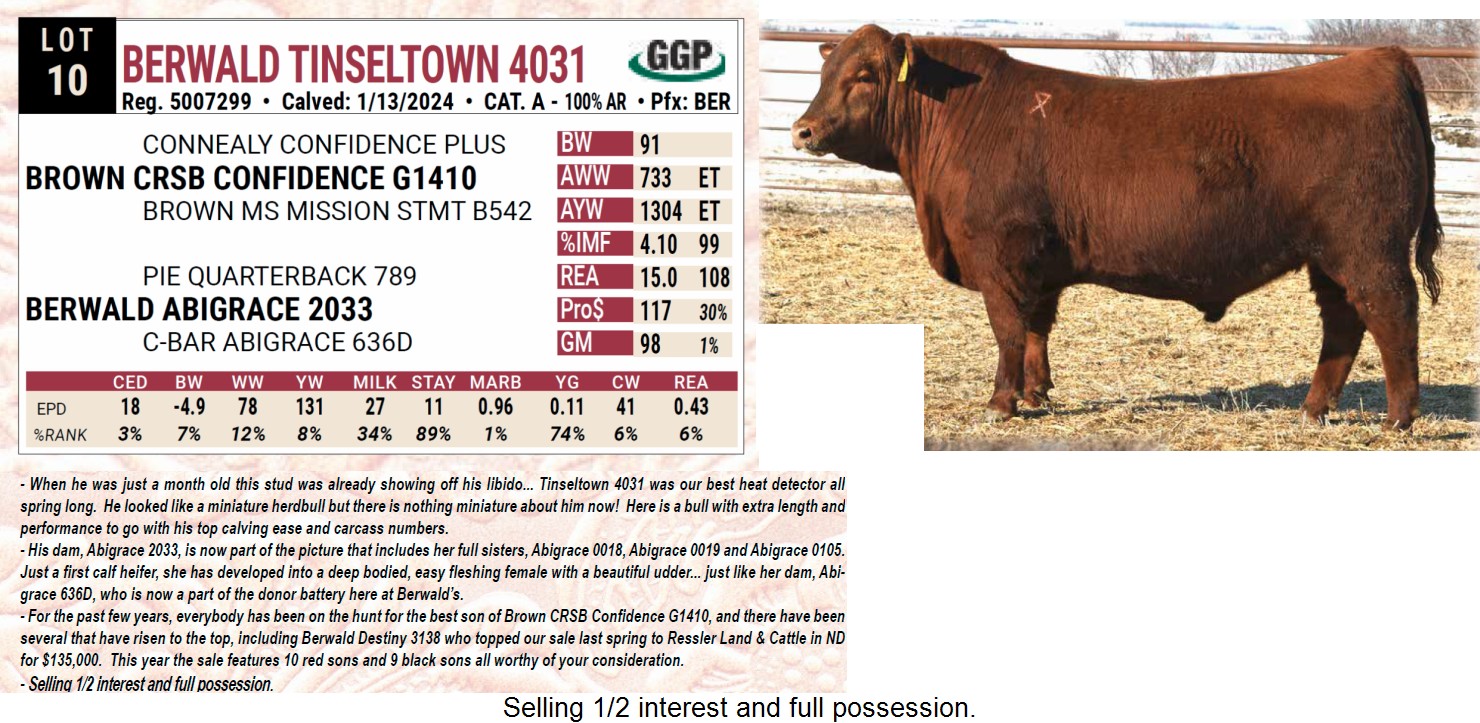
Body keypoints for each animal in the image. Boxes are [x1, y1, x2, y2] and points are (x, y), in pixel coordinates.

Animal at [790, 25, 1444, 430]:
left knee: (1391, 313)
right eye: (826, 72)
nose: (802, 130)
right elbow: (1037, 328)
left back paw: (1398, 417)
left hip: (1368, 247)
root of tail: (1379, 59)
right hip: (1328, 256)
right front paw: (1037, 393)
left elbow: (1007, 329)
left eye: (865, 75)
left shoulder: (997, 255)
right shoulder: (1039, 263)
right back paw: (1312, 410)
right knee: (1343, 325)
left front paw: (1002, 402)